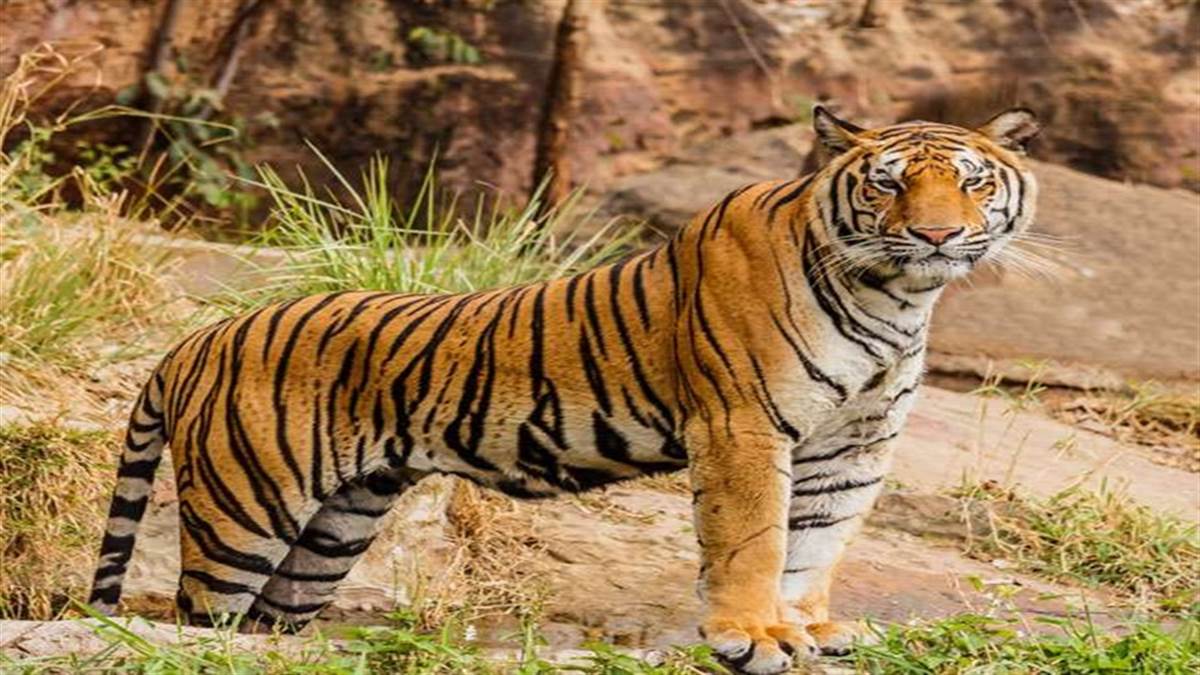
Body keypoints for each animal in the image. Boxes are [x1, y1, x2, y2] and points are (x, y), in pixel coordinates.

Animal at [89, 106, 1039, 674]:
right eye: (888, 181)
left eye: (972, 179)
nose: (937, 234)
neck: (896, 295)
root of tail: (197, 338)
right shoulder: (744, 425)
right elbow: (755, 539)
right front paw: (754, 634)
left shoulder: (856, 442)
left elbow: (817, 542)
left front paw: (805, 627)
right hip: (243, 510)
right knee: (195, 618)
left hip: (333, 527)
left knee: (266, 626)